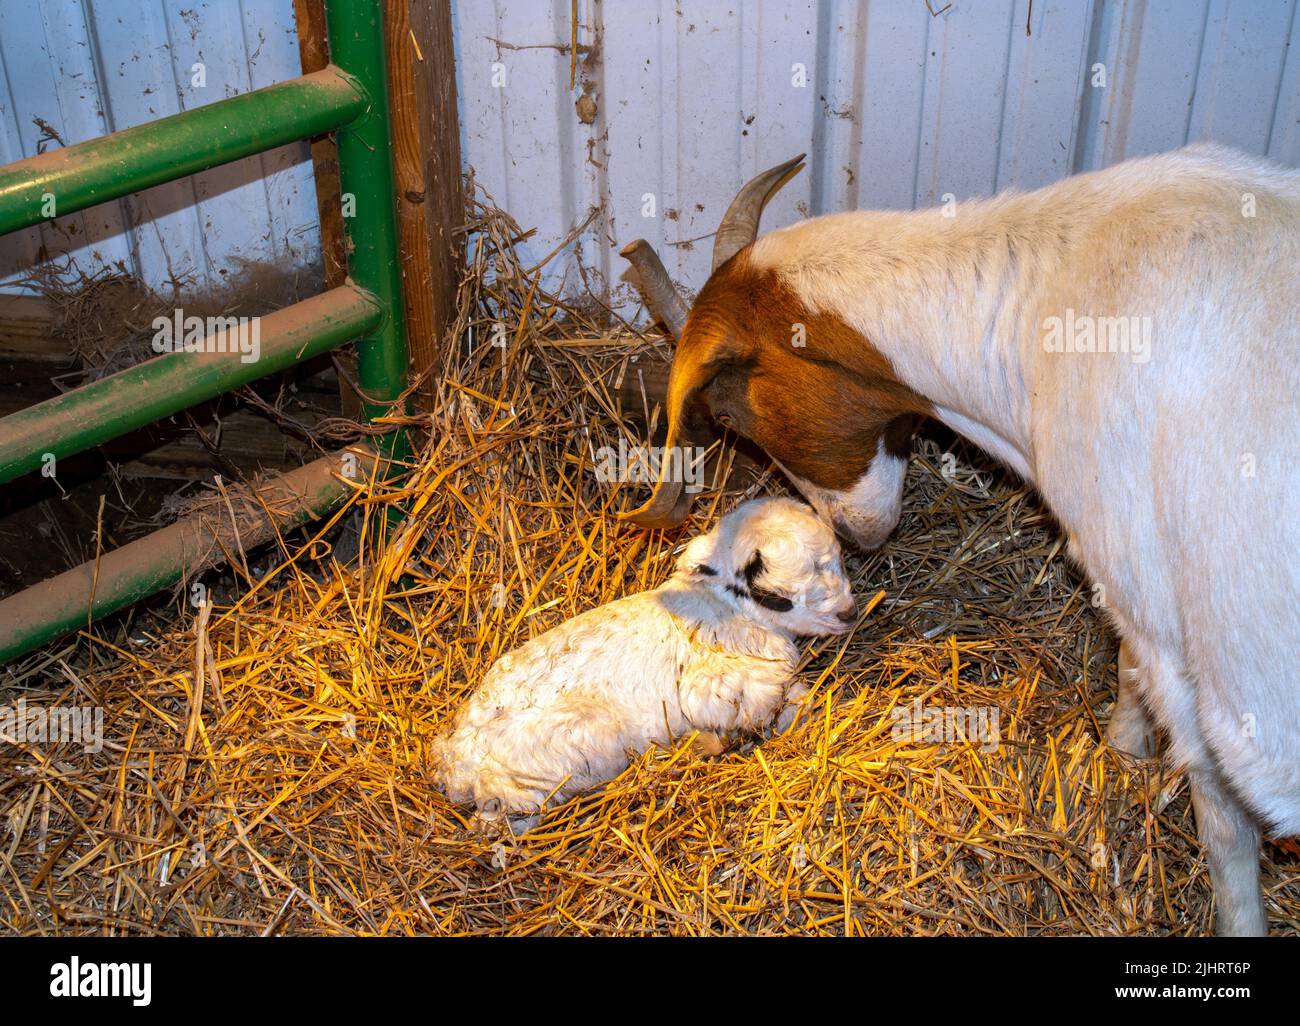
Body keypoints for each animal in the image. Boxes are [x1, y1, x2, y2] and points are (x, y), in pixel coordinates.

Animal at [431, 497, 857, 830]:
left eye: (838, 561)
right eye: (775, 597)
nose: (849, 614)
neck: (728, 608)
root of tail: (457, 763)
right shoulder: (714, 689)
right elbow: (782, 700)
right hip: (582, 749)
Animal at [621, 143, 1300, 935]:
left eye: (732, 417)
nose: (851, 535)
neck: (1048, 302)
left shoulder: (1175, 630)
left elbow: (1221, 823)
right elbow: (1129, 669)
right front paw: (1122, 753)